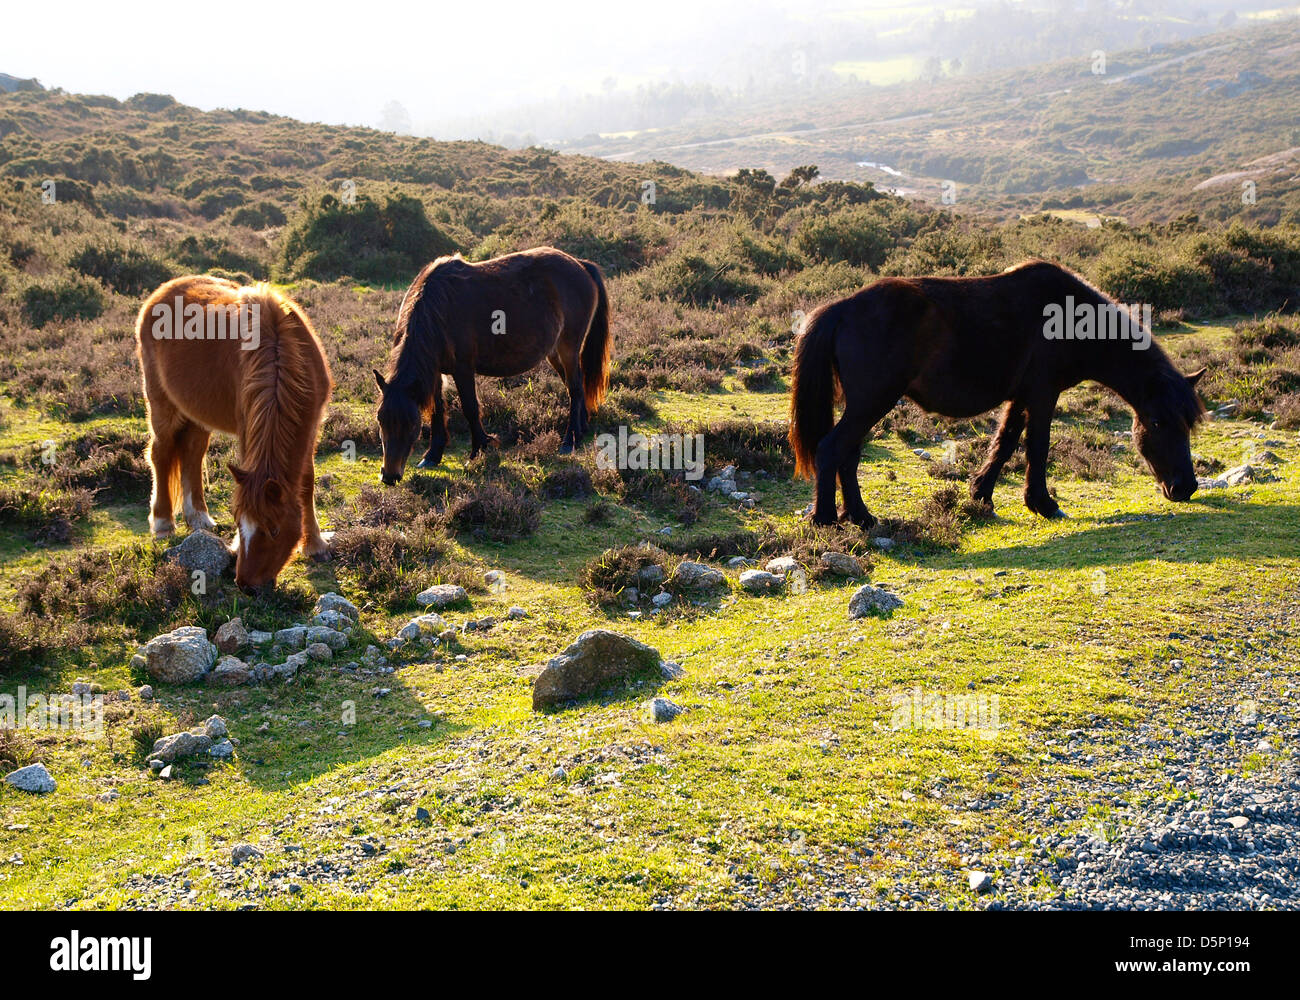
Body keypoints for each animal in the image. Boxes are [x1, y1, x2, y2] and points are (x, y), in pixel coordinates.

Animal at [135, 275, 333, 591]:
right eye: (240, 522)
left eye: (274, 530)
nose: (246, 585)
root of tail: (163, 291)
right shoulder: (247, 428)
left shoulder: (312, 427)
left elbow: (306, 484)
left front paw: (315, 545)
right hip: (162, 404)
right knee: (161, 454)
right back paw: (164, 522)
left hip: (197, 413)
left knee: (192, 454)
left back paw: (199, 517)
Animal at [374, 247, 611, 484]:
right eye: (380, 420)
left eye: (411, 424)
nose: (389, 476)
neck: (438, 308)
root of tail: (580, 264)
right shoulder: (436, 371)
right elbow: (437, 409)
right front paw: (433, 455)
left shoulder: (463, 369)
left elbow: (470, 408)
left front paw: (479, 450)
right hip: (554, 353)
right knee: (576, 387)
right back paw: (581, 429)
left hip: (568, 348)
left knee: (575, 390)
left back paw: (569, 441)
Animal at [789, 260, 1206, 526]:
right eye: (1157, 422)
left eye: (1188, 424)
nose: (1184, 488)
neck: (1071, 318)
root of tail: (841, 308)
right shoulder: (1043, 395)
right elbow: (1037, 447)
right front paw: (1043, 504)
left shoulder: (1021, 397)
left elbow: (1005, 443)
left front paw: (981, 495)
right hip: (871, 402)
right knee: (832, 449)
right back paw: (825, 519)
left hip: (866, 405)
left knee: (847, 454)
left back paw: (861, 517)